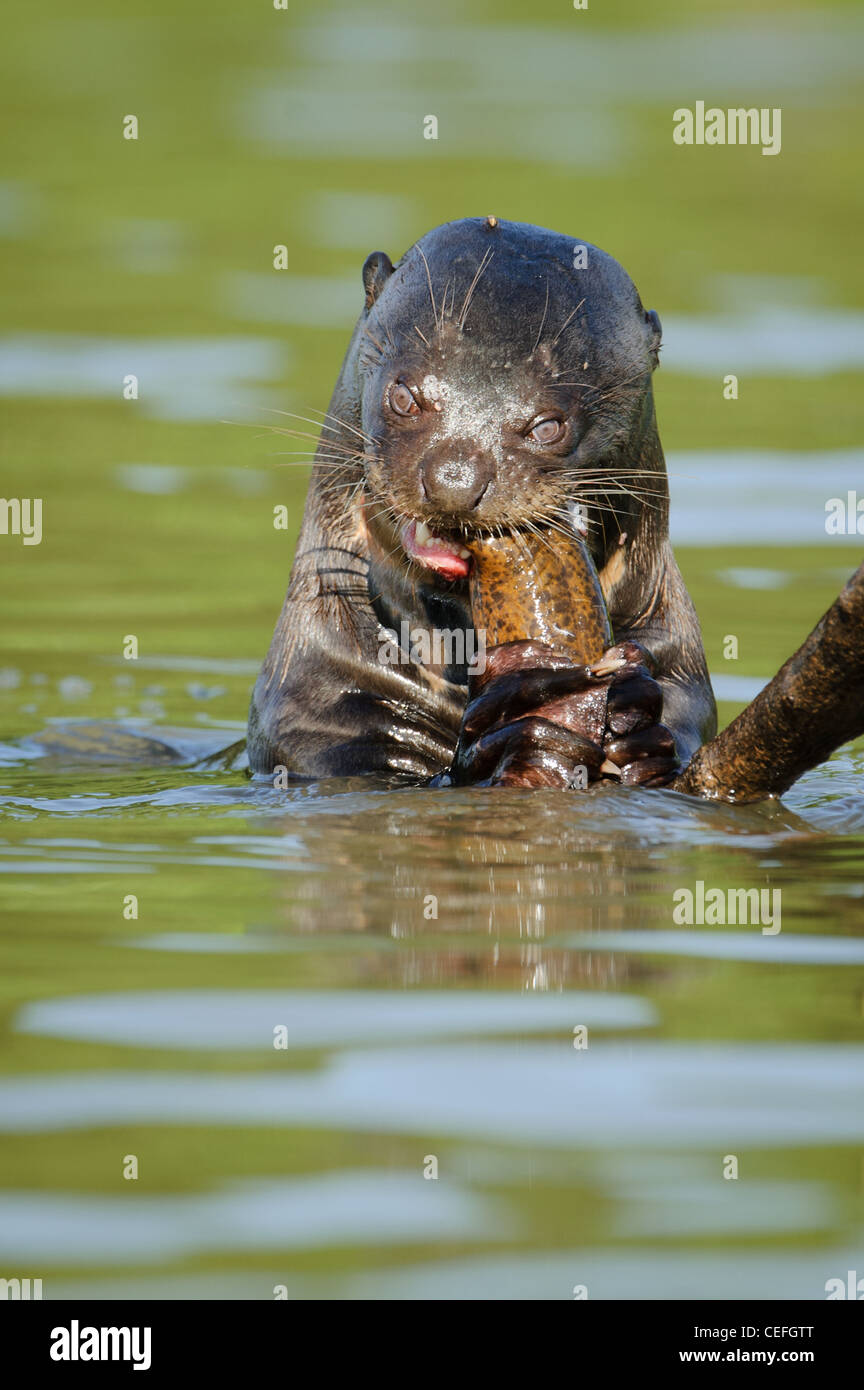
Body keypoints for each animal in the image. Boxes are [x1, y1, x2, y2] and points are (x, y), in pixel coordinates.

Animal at [248, 217, 717, 787]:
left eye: (546, 425)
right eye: (405, 396)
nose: (455, 480)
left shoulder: (684, 684)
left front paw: (633, 722)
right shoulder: (315, 729)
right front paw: (529, 711)